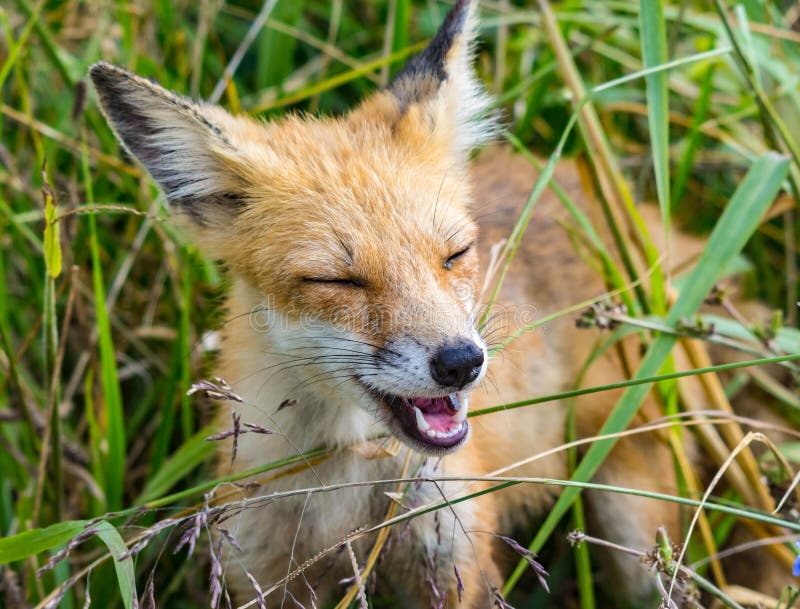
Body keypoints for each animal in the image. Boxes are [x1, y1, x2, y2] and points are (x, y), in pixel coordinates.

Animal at [89, 1, 790, 607]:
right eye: (339, 281)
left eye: (454, 254)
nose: (462, 363)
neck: (345, 488)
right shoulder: (261, 573)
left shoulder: (457, 563)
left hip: (638, 532)